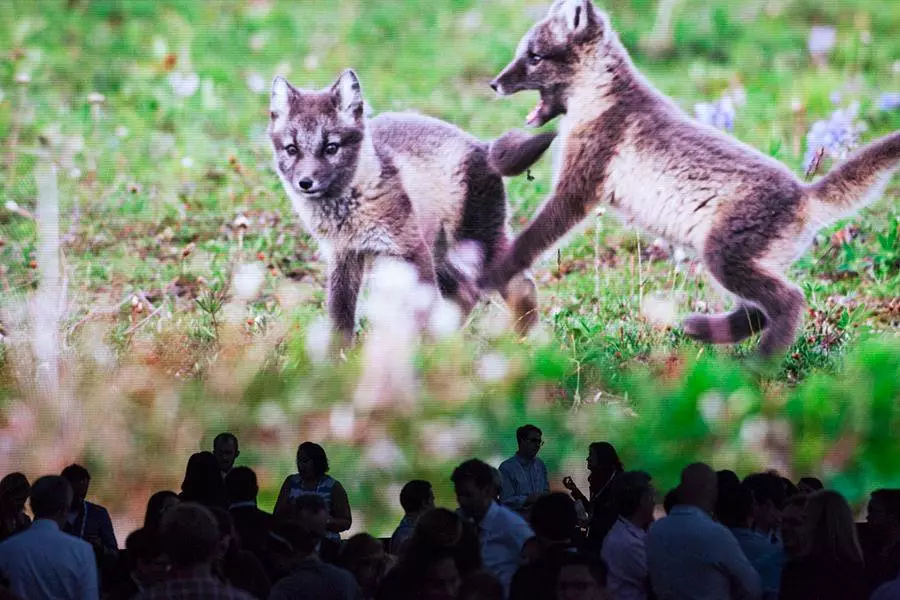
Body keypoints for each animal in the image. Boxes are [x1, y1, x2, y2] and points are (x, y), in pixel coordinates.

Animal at [266, 69, 556, 342]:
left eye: (331, 147)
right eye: (291, 149)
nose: (305, 183)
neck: (351, 204)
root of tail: (485, 147)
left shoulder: (411, 249)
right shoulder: (343, 256)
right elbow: (340, 318)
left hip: (474, 242)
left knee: (519, 285)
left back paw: (524, 342)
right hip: (443, 254)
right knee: (465, 292)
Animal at [486, 0, 900, 356]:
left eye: (534, 56)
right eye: (524, 52)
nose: (493, 84)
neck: (600, 96)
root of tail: (805, 193)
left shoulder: (577, 188)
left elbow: (531, 239)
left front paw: (496, 272)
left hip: (724, 256)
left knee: (789, 300)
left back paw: (757, 364)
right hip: (745, 262)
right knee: (759, 309)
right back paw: (702, 330)